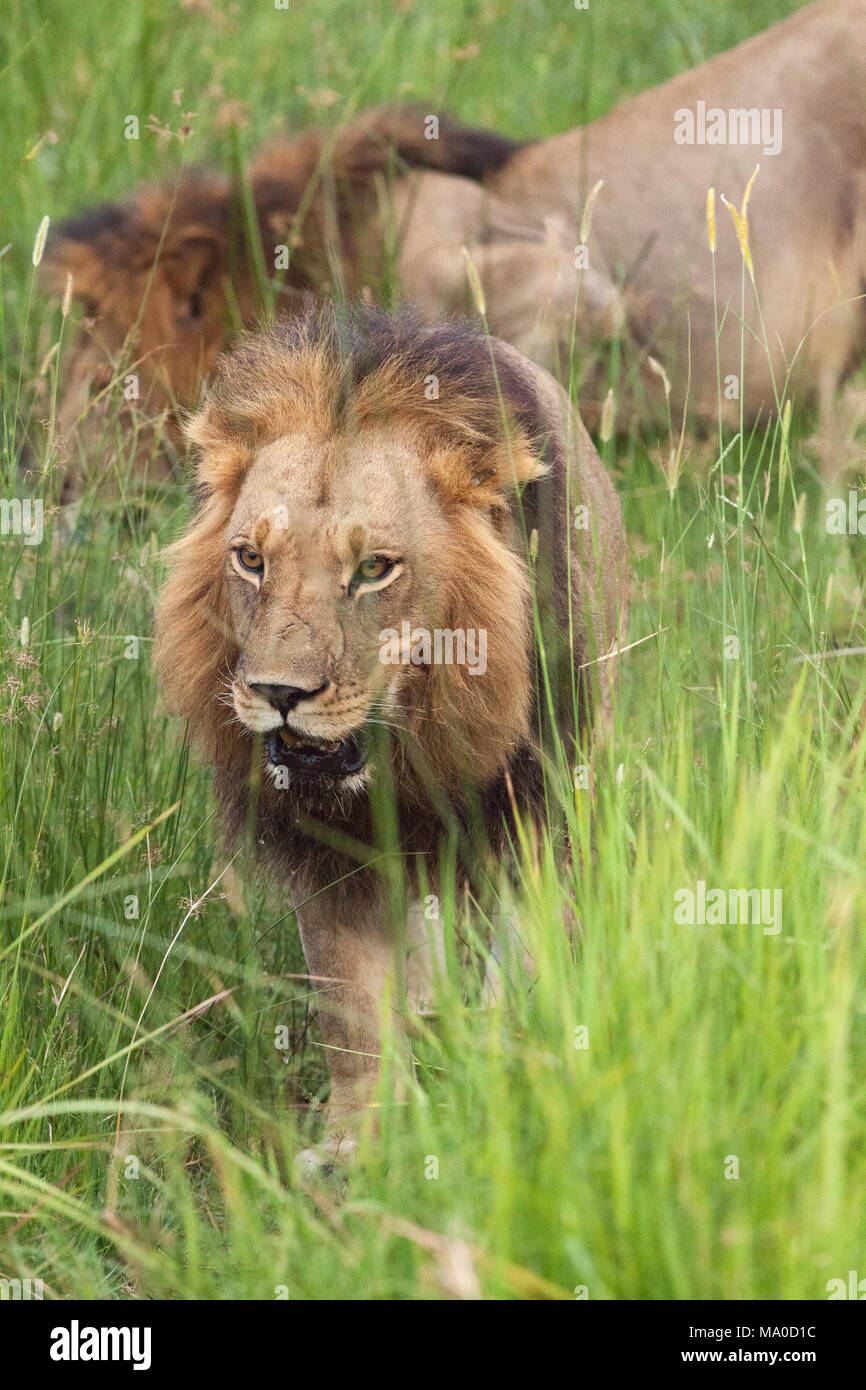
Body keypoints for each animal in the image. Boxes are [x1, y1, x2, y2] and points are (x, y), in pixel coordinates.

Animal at [153, 304, 629, 1158]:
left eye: (375, 568)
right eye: (250, 560)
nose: (278, 693)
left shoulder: (542, 810)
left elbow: (526, 967)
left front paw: (505, 1096)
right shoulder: (326, 848)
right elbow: (350, 1010)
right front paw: (358, 1146)